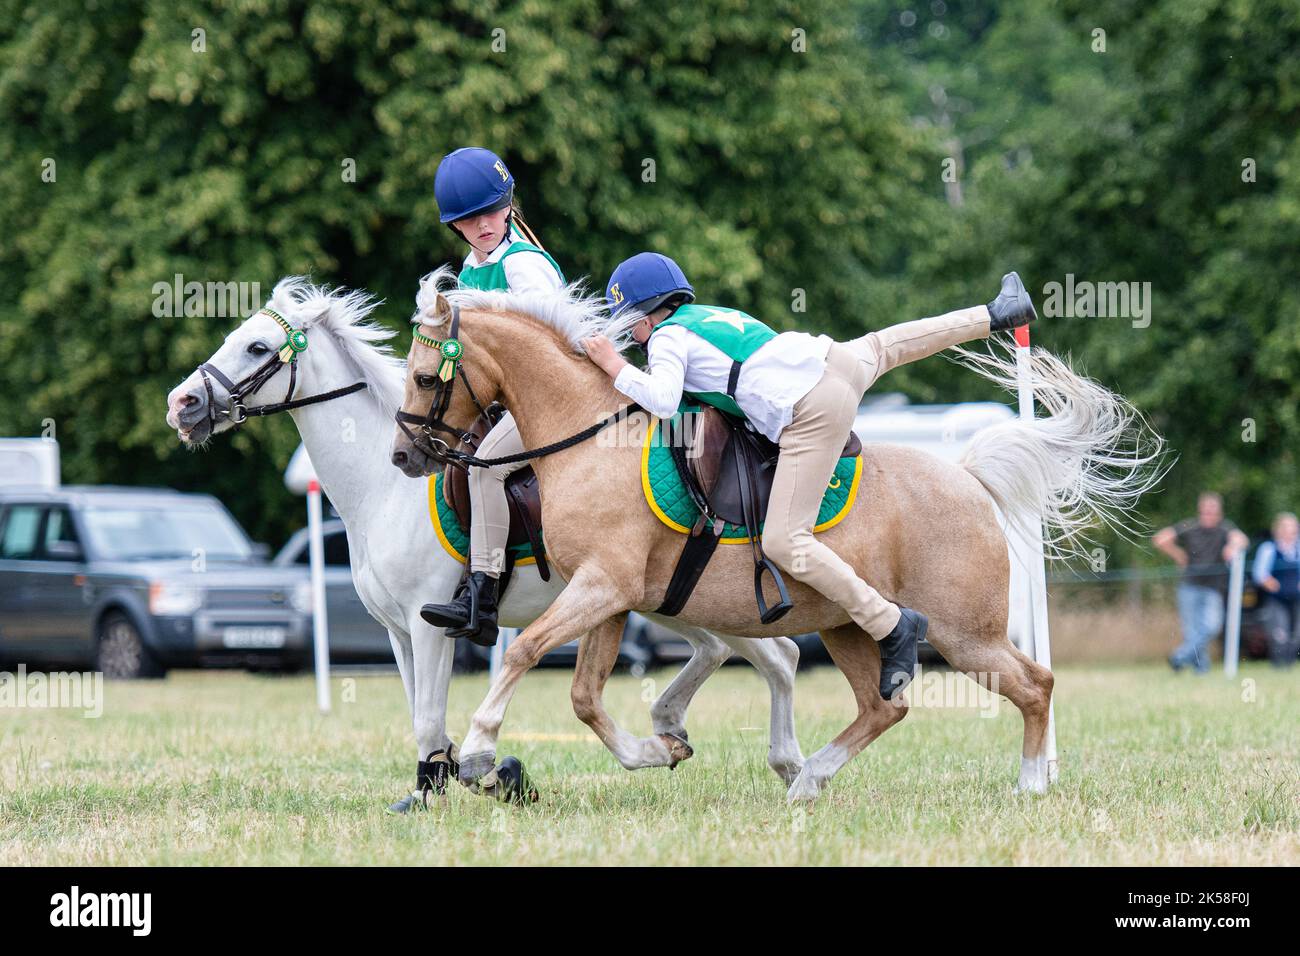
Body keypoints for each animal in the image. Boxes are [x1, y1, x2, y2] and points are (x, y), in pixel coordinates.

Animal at [164, 278, 807, 809]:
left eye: (256, 348)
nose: (182, 404)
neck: (381, 490)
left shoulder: (429, 626)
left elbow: (428, 719)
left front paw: (468, 778)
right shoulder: (399, 633)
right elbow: (422, 716)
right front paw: (454, 780)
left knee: (773, 654)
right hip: (667, 599)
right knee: (760, 653)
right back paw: (767, 759)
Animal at [389, 269, 1164, 802]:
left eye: (425, 376)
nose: (404, 458)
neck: (588, 434)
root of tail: (968, 478)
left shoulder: (602, 587)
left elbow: (524, 655)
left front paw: (481, 752)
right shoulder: (607, 596)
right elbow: (584, 697)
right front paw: (658, 750)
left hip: (962, 631)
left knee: (1033, 683)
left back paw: (1031, 781)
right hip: (850, 625)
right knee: (884, 705)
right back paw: (809, 778)